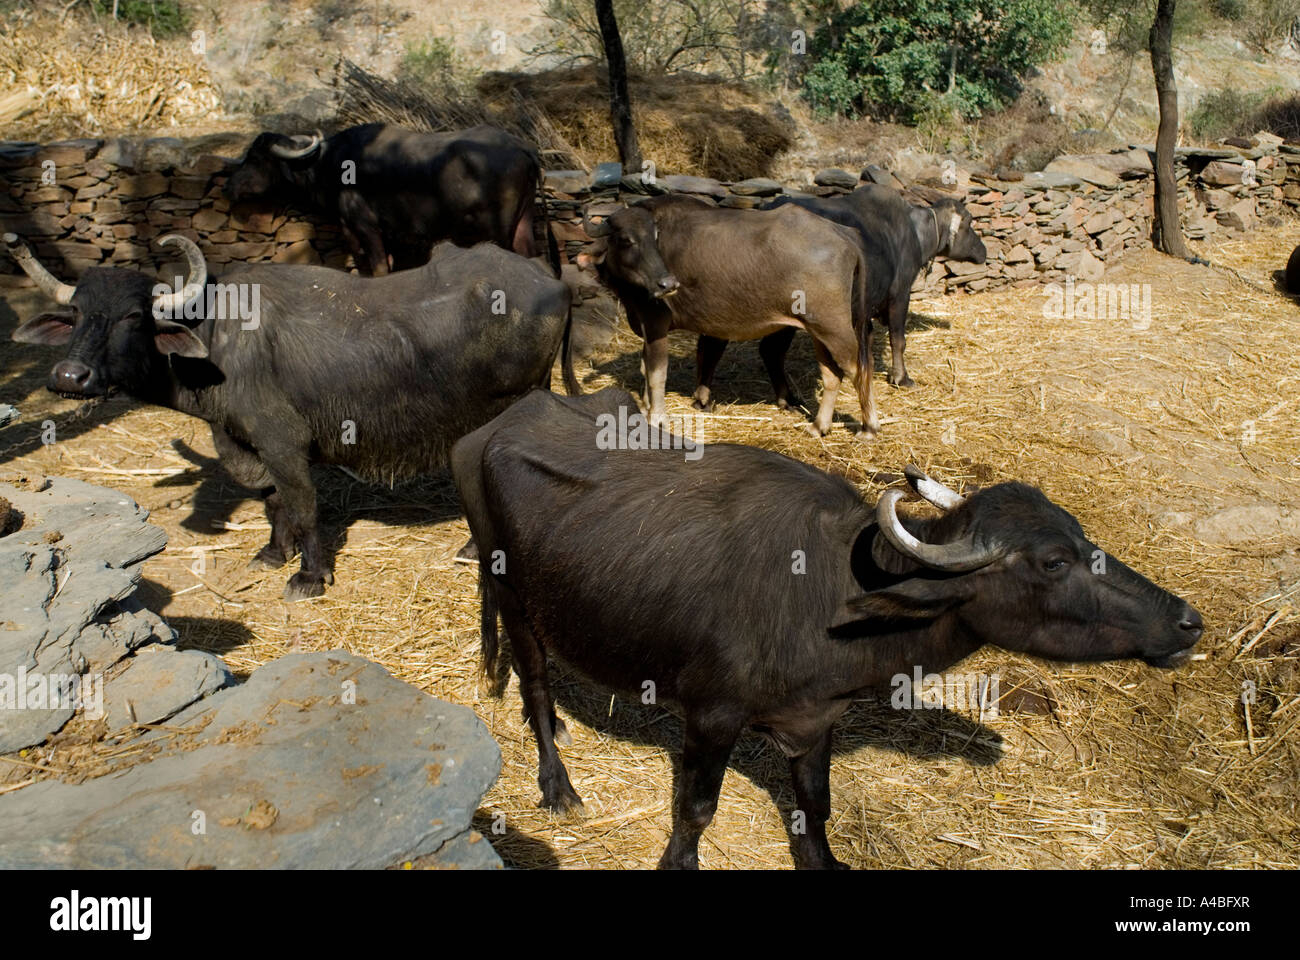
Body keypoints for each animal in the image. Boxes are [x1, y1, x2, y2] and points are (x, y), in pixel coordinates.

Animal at [8, 232, 577, 599]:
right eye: (78, 313)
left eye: (131, 317)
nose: (69, 377)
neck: (215, 338)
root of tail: (550, 281)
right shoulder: (241, 443)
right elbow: (272, 500)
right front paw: (271, 553)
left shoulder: (284, 443)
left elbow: (303, 506)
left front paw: (309, 577)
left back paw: (473, 548)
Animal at [225, 123, 547, 276]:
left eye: (255, 158)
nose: (229, 185)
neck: (328, 164)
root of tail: (522, 148)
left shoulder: (367, 227)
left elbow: (380, 267)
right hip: (524, 223)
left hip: (497, 230)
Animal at [452, 386, 1203, 869]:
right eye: (1052, 561)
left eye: (1081, 535)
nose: (1187, 622)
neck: (831, 596)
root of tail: (492, 427)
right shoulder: (711, 717)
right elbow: (696, 810)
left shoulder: (815, 721)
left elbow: (816, 805)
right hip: (510, 593)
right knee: (536, 681)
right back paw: (557, 784)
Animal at [580, 194, 878, 437]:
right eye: (625, 239)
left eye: (655, 237)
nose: (667, 284)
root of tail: (843, 233)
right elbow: (645, 367)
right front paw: (646, 404)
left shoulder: (655, 323)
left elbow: (657, 372)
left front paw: (658, 417)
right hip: (818, 330)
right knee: (832, 374)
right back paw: (819, 426)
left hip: (835, 328)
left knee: (860, 367)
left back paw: (869, 428)